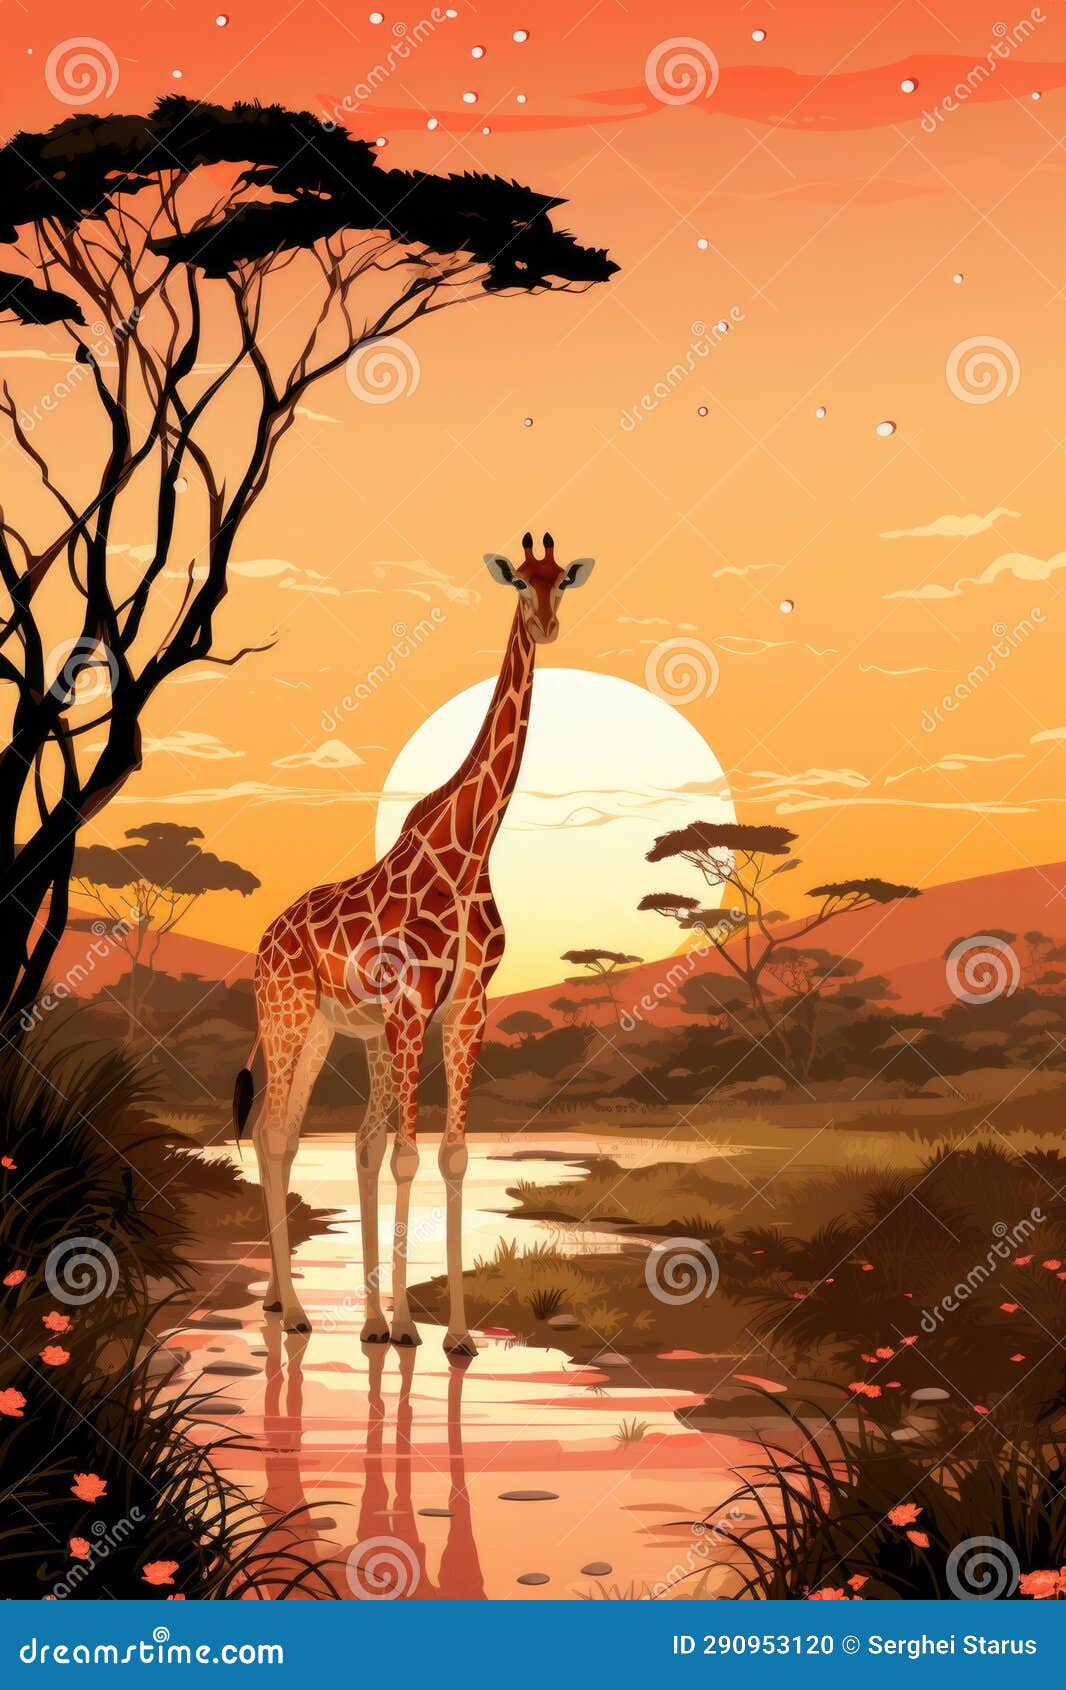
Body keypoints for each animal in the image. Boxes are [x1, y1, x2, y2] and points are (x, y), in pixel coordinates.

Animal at [233, 531, 596, 1353]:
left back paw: (300, 1305)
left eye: (563, 580)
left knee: (302, 1135)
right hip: (288, 1014)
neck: (470, 848)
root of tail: (265, 941)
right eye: (520, 584)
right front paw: (407, 1325)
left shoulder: (464, 1007)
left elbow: (450, 1157)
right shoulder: (409, 1008)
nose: (550, 624)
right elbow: (404, 1155)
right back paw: (296, 1311)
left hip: (330, 1030)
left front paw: (449, 1333)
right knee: (277, 1134)